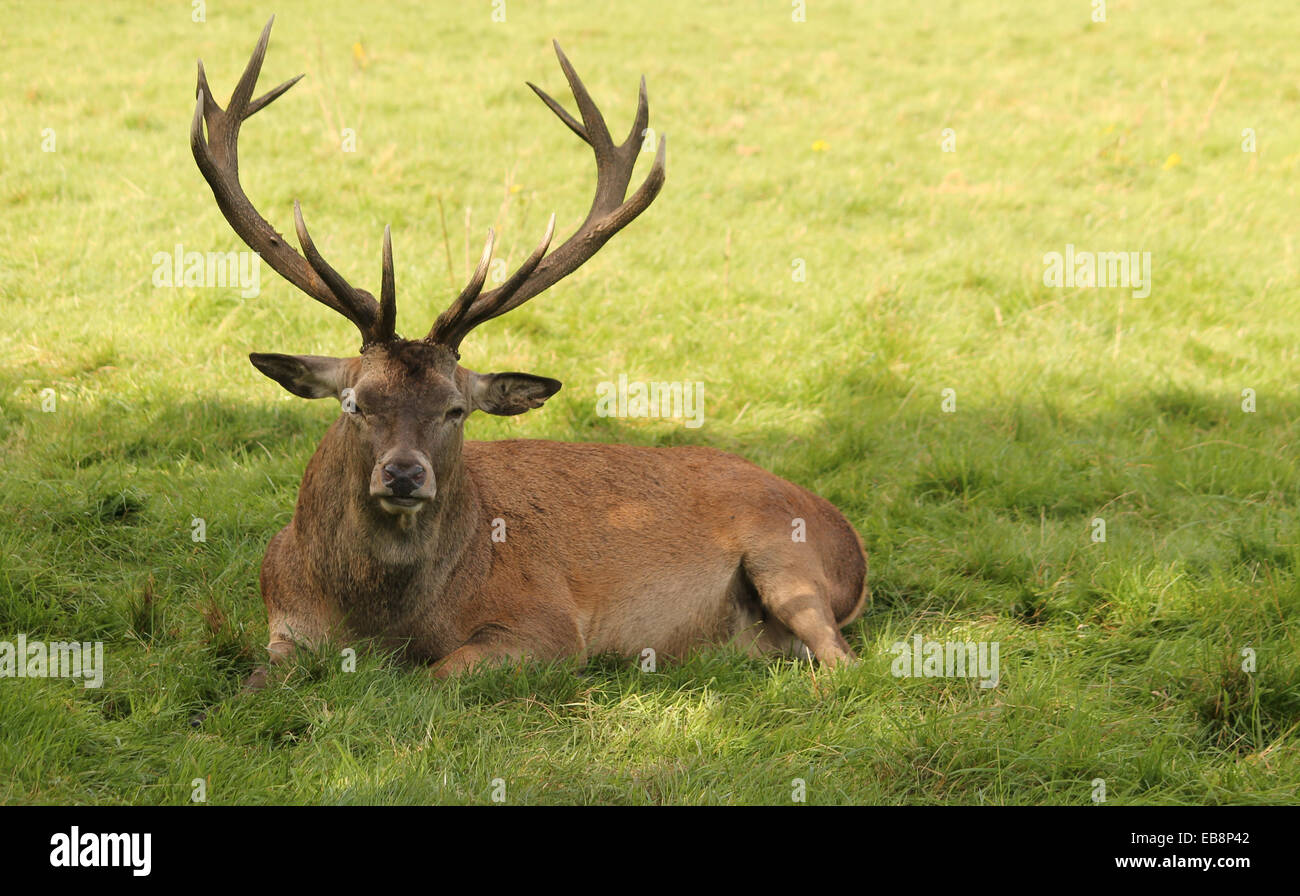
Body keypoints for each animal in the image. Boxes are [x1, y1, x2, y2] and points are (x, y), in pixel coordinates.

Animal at [191, 18, 868, 687]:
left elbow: (436, 674)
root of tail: (849, 539)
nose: (404, 474)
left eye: (456, 409)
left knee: (844, 662)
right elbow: (253, 682)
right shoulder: (282, 622)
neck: (376, 623)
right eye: (353, 403)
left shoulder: (547, 625)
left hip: (787, 557)